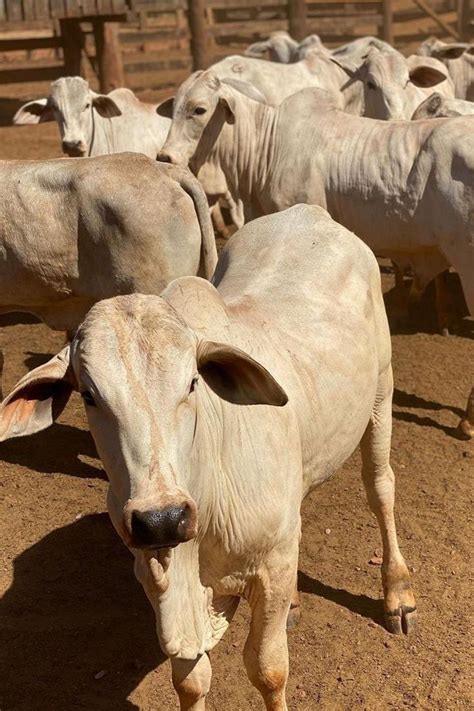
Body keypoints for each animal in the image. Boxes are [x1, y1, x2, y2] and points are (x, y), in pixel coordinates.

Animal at [0, 204, 417, 709]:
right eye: (89, 395)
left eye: (193, 383)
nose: (162, 519)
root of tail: (309, 211)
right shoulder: (155, 575)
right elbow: (191, 680)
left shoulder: (271, 568)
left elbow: (268, 670)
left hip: (381, 390)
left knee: (380, 487)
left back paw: (397, 593)